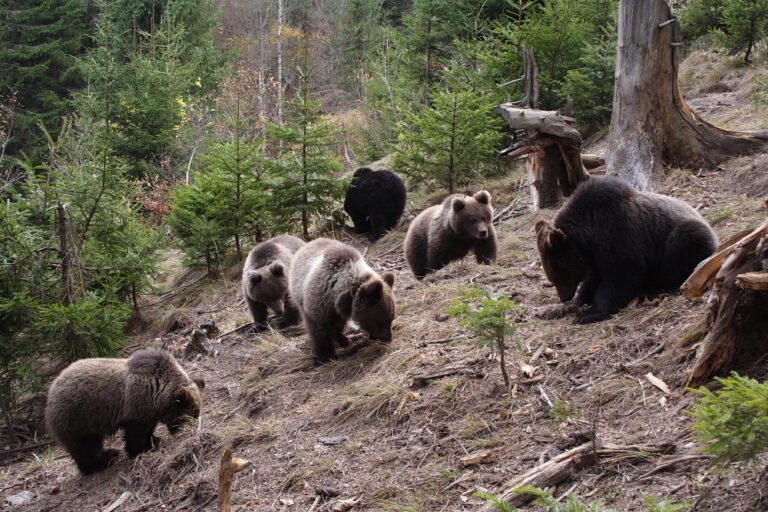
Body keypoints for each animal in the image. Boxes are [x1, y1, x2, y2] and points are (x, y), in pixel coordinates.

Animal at [45, 350, 205, 475]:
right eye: (189, 415)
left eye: (196, 414)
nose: (185, 431)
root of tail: (52, 389)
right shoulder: (135, 409)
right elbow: (135, 435)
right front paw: (141, 449)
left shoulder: (149, 412)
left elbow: (148, 429)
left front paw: (153, 440)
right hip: (78, 416)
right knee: (84, 447)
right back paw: (100, 462)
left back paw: (110, 453)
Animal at [535, 176, 718, 324]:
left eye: (558, 277)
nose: (563, 297)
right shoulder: (596, 255)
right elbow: (593, 279)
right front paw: (569, 305)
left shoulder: (618, 235)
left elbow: (621, 275)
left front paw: (589, 314)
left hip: (685, 238)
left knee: (683, 248)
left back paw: (653, 289)